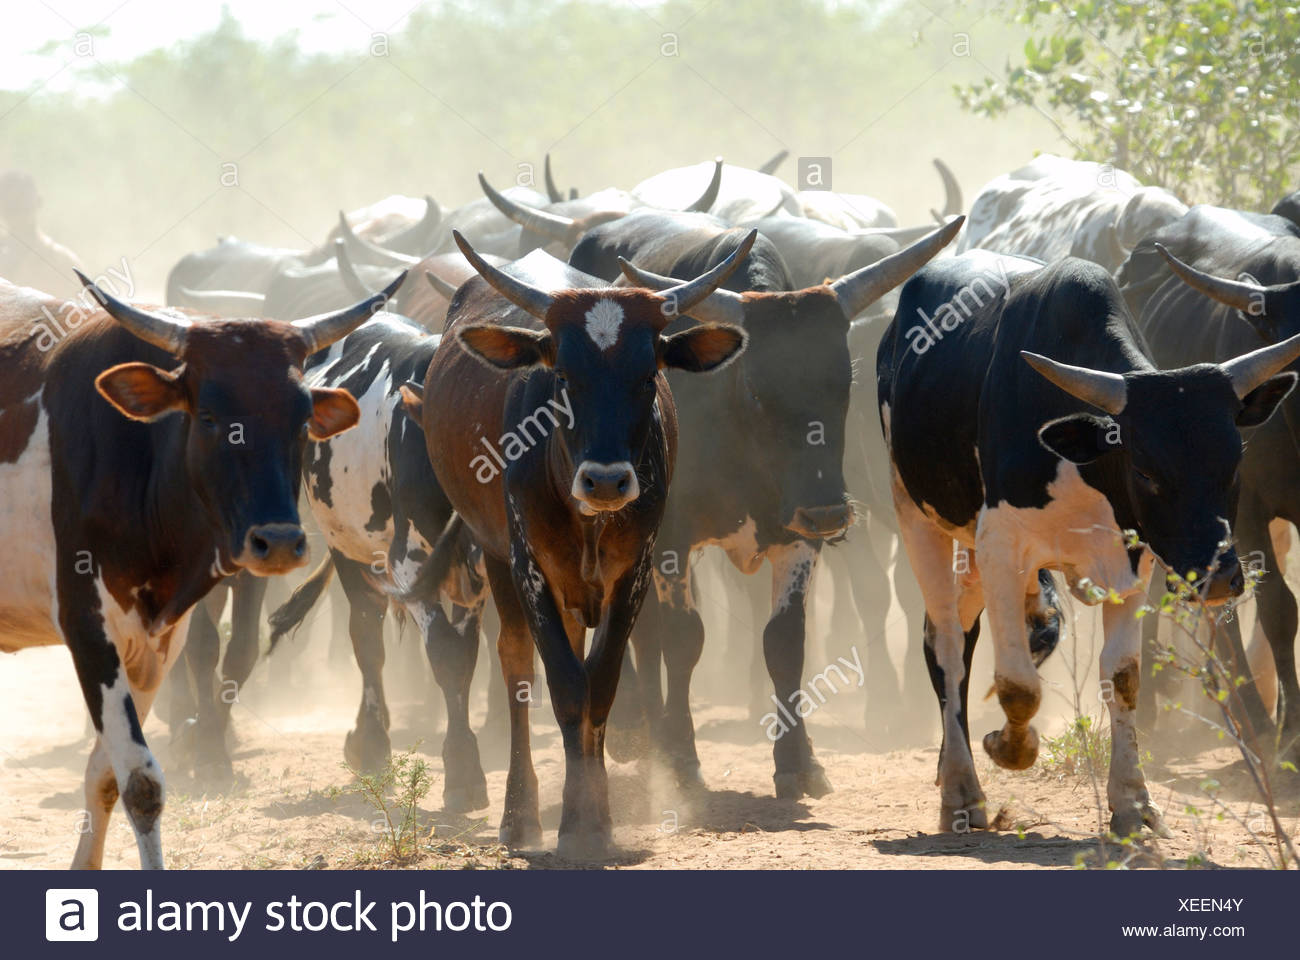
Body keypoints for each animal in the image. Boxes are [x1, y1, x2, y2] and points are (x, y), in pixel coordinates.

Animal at [0, 270, 402, 868]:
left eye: (303, 420)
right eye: (209, 417)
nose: (277, 542)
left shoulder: (156, 640)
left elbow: (106, 776)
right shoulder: (88, 625)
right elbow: (141, 781)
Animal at [419, 231, 751, 857]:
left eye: (647, 378)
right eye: (565, 379)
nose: (605, 481)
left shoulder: (636, 570)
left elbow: (601, 682)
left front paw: (598, 818)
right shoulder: (528, 565)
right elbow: (566, 683)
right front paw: (576, 825)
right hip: (494, 554)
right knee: (517, 664)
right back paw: (519, 815)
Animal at [575, 210, 963, 798]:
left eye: (845, 383)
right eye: (757, 389)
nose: (829, 513)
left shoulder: (798, 537)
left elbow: (785, 641)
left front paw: (798, 760)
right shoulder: (671, 540)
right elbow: (684, 639)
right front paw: (682, 756)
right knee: (642, 630)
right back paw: (637, 732)